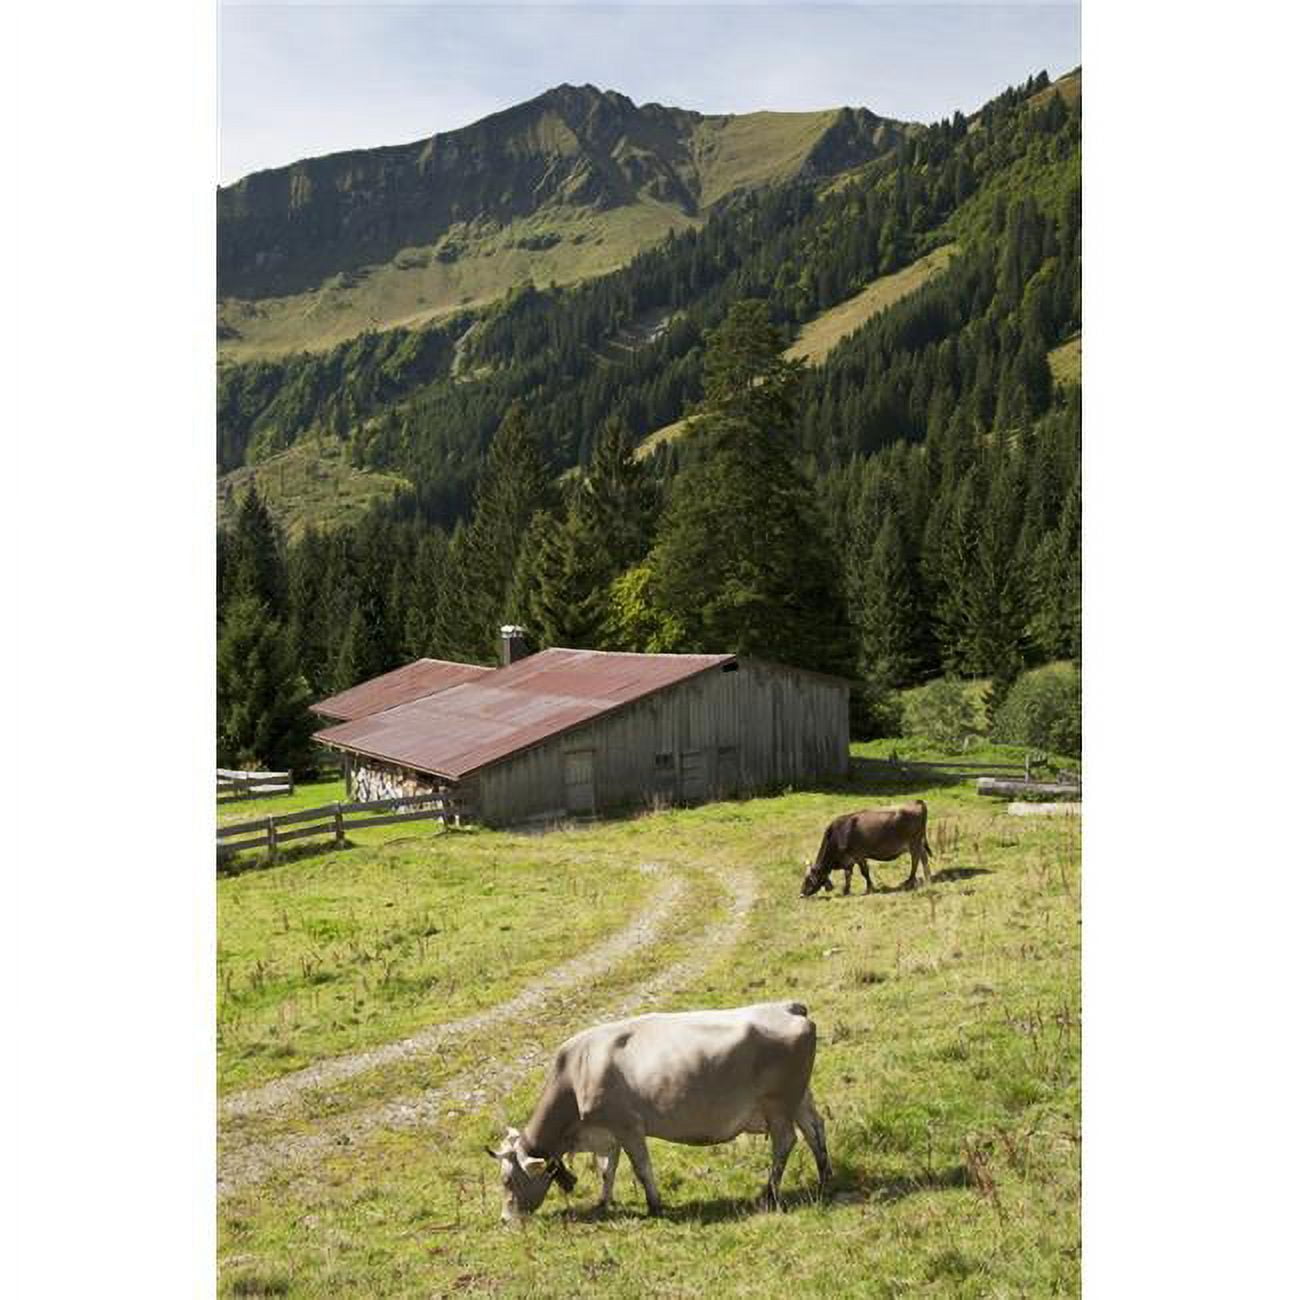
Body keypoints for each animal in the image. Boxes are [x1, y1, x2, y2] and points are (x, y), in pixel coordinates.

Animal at [484, 1001, 831, 1221]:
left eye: (508, 1180)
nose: (504, 1219)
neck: (577, 1071)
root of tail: (787, 1007)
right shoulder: (608, 1133)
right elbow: (607, 1169)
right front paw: (603, 1202)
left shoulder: (628, 1126)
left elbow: (641, 1168)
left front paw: (654, 1206)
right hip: (799, 1097)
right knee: (815, 1128)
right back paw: (825, 1178)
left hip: (777, 1103)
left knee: (786, 1141)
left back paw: (769, 1193)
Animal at [800, 801, 933, 897]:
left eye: (809, 879)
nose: (801, 894)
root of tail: (916, 802)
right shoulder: (849, 860)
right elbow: (848, 875)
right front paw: (846, 890)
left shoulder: (858, 855)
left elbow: (864, 872)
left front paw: (870, 888)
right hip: (918, 843)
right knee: (924, 857)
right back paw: (927, 878)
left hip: (913, 843)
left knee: (915, 861)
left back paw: (909, 881)